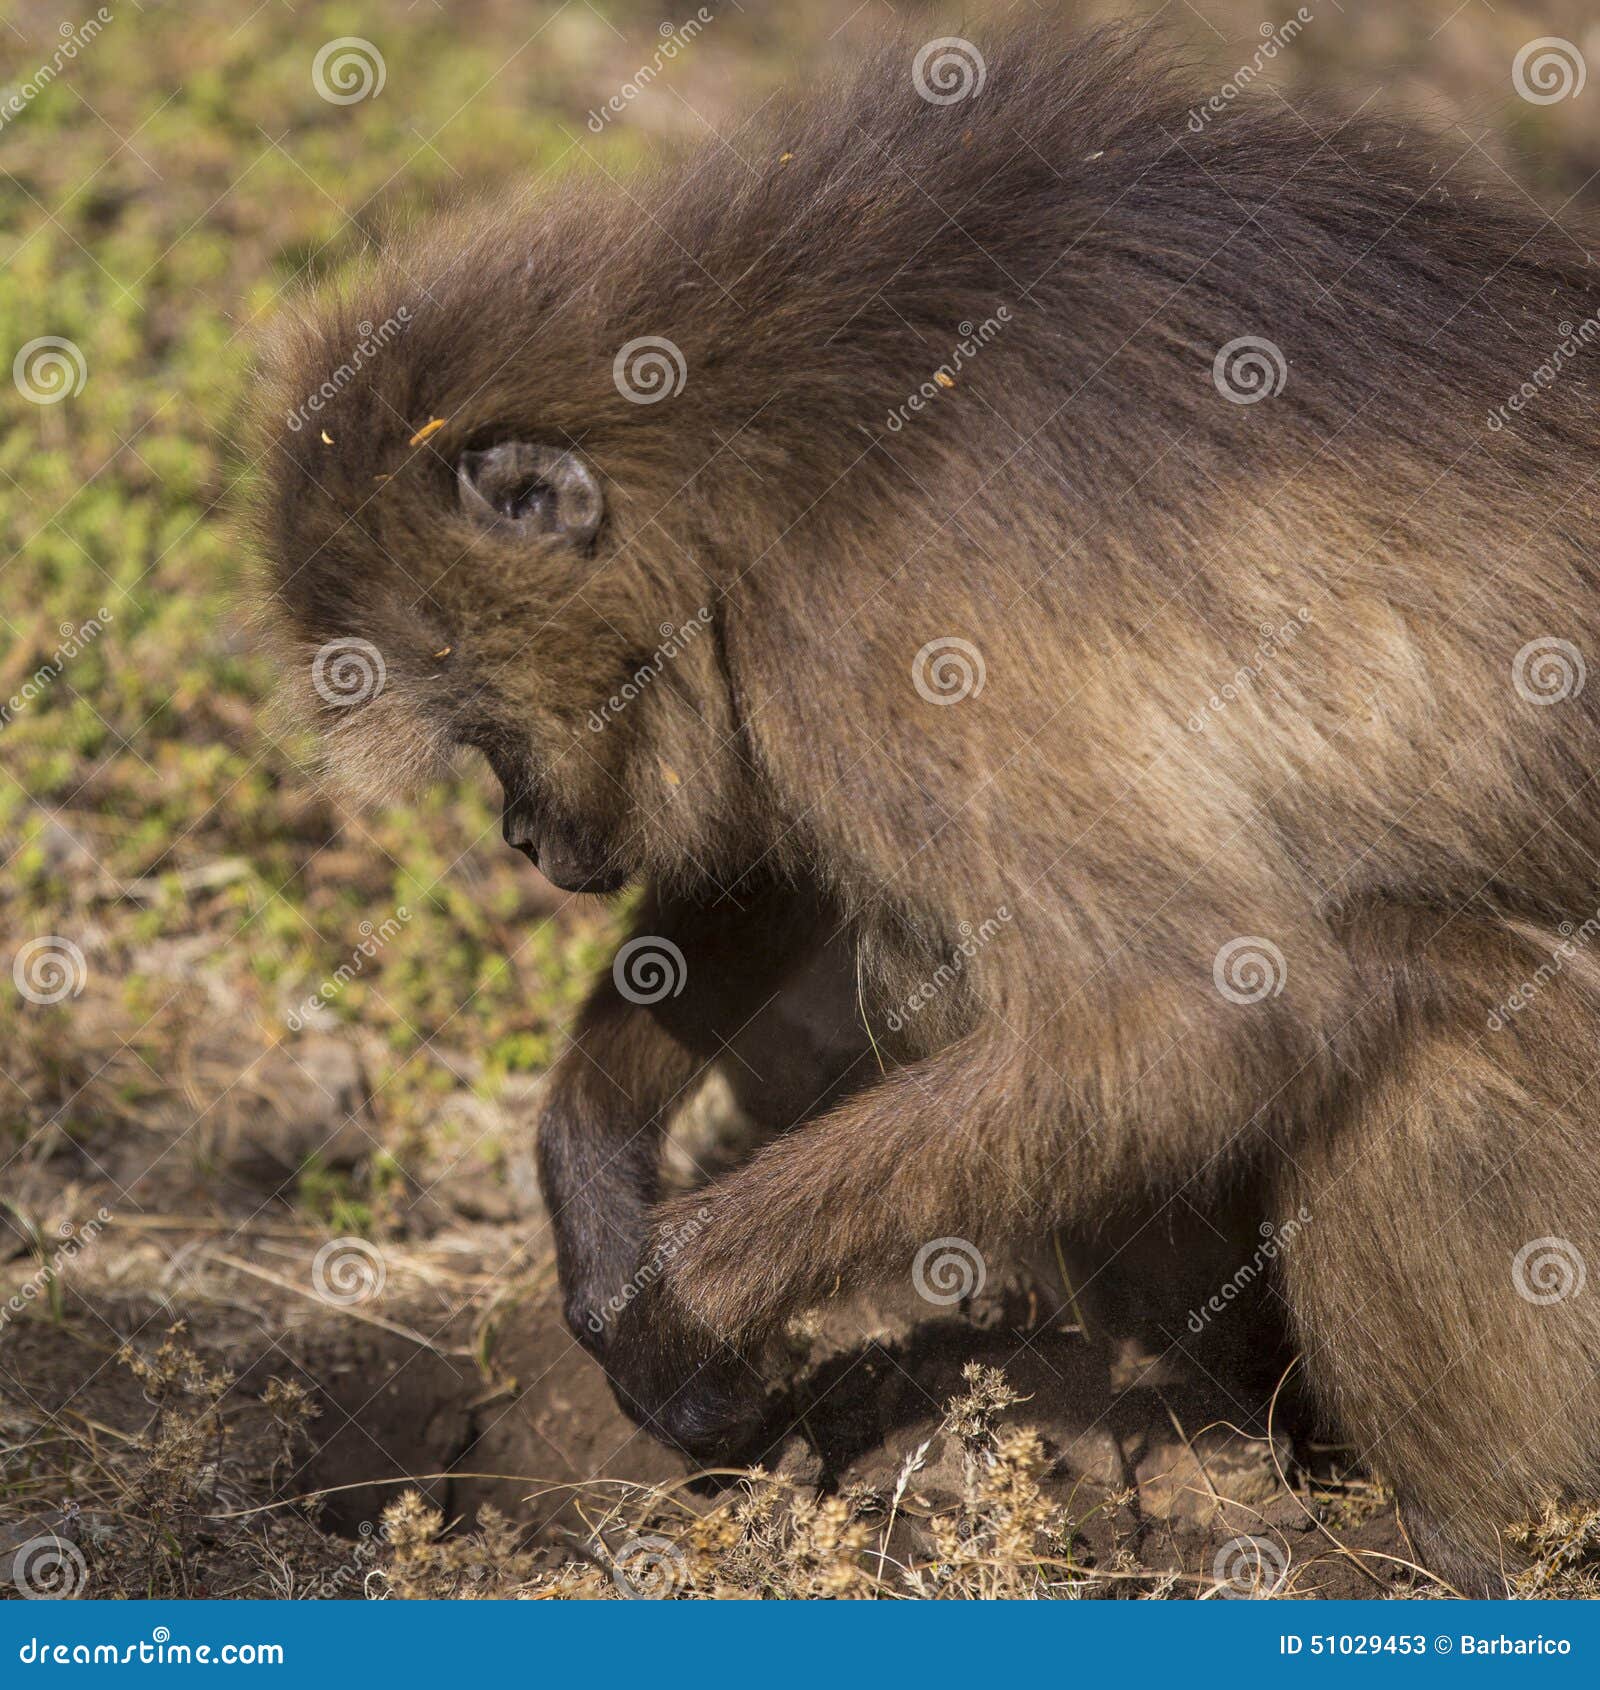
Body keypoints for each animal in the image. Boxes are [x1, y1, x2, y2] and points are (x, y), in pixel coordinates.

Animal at [253, 21, 1600, 1593]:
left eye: (480, 732)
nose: (522, 842)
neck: (753, 442)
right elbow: (780, 862)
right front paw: (591, 1201)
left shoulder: (874, 623)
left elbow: (1199, 1012)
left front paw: (671, 1307)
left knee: (1393, 1002)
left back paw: (1441, 1535)